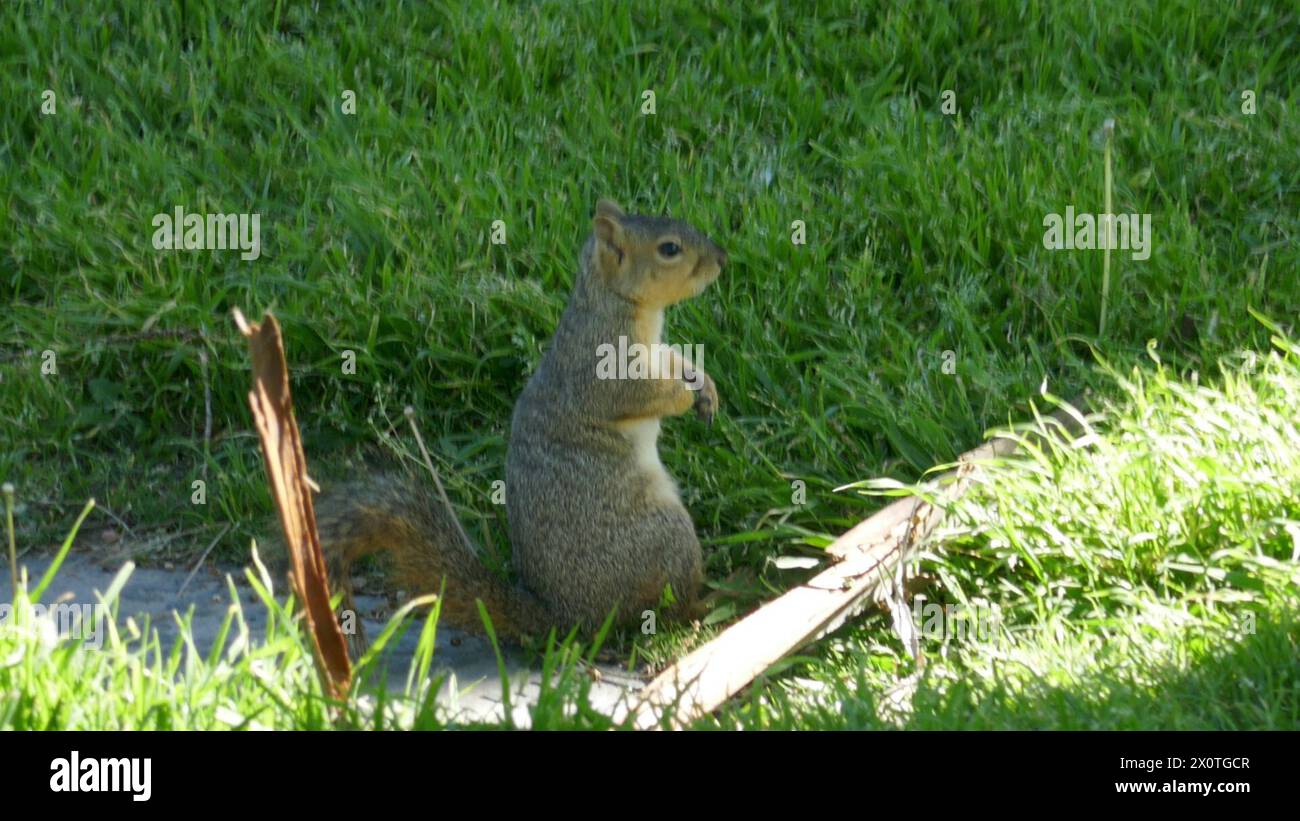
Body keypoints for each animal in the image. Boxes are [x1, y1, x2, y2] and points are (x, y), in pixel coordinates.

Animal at [313, 198, 727, 642]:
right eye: (669, 249)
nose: (721, 258)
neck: (617, 303)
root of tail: (567, 616)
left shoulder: (655, 350)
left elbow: (675, 360)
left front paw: (703, 384)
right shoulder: (601, 366)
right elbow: (633, 395)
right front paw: (683, 396)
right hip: (666, 538)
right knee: (668, 608)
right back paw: (708, 602)